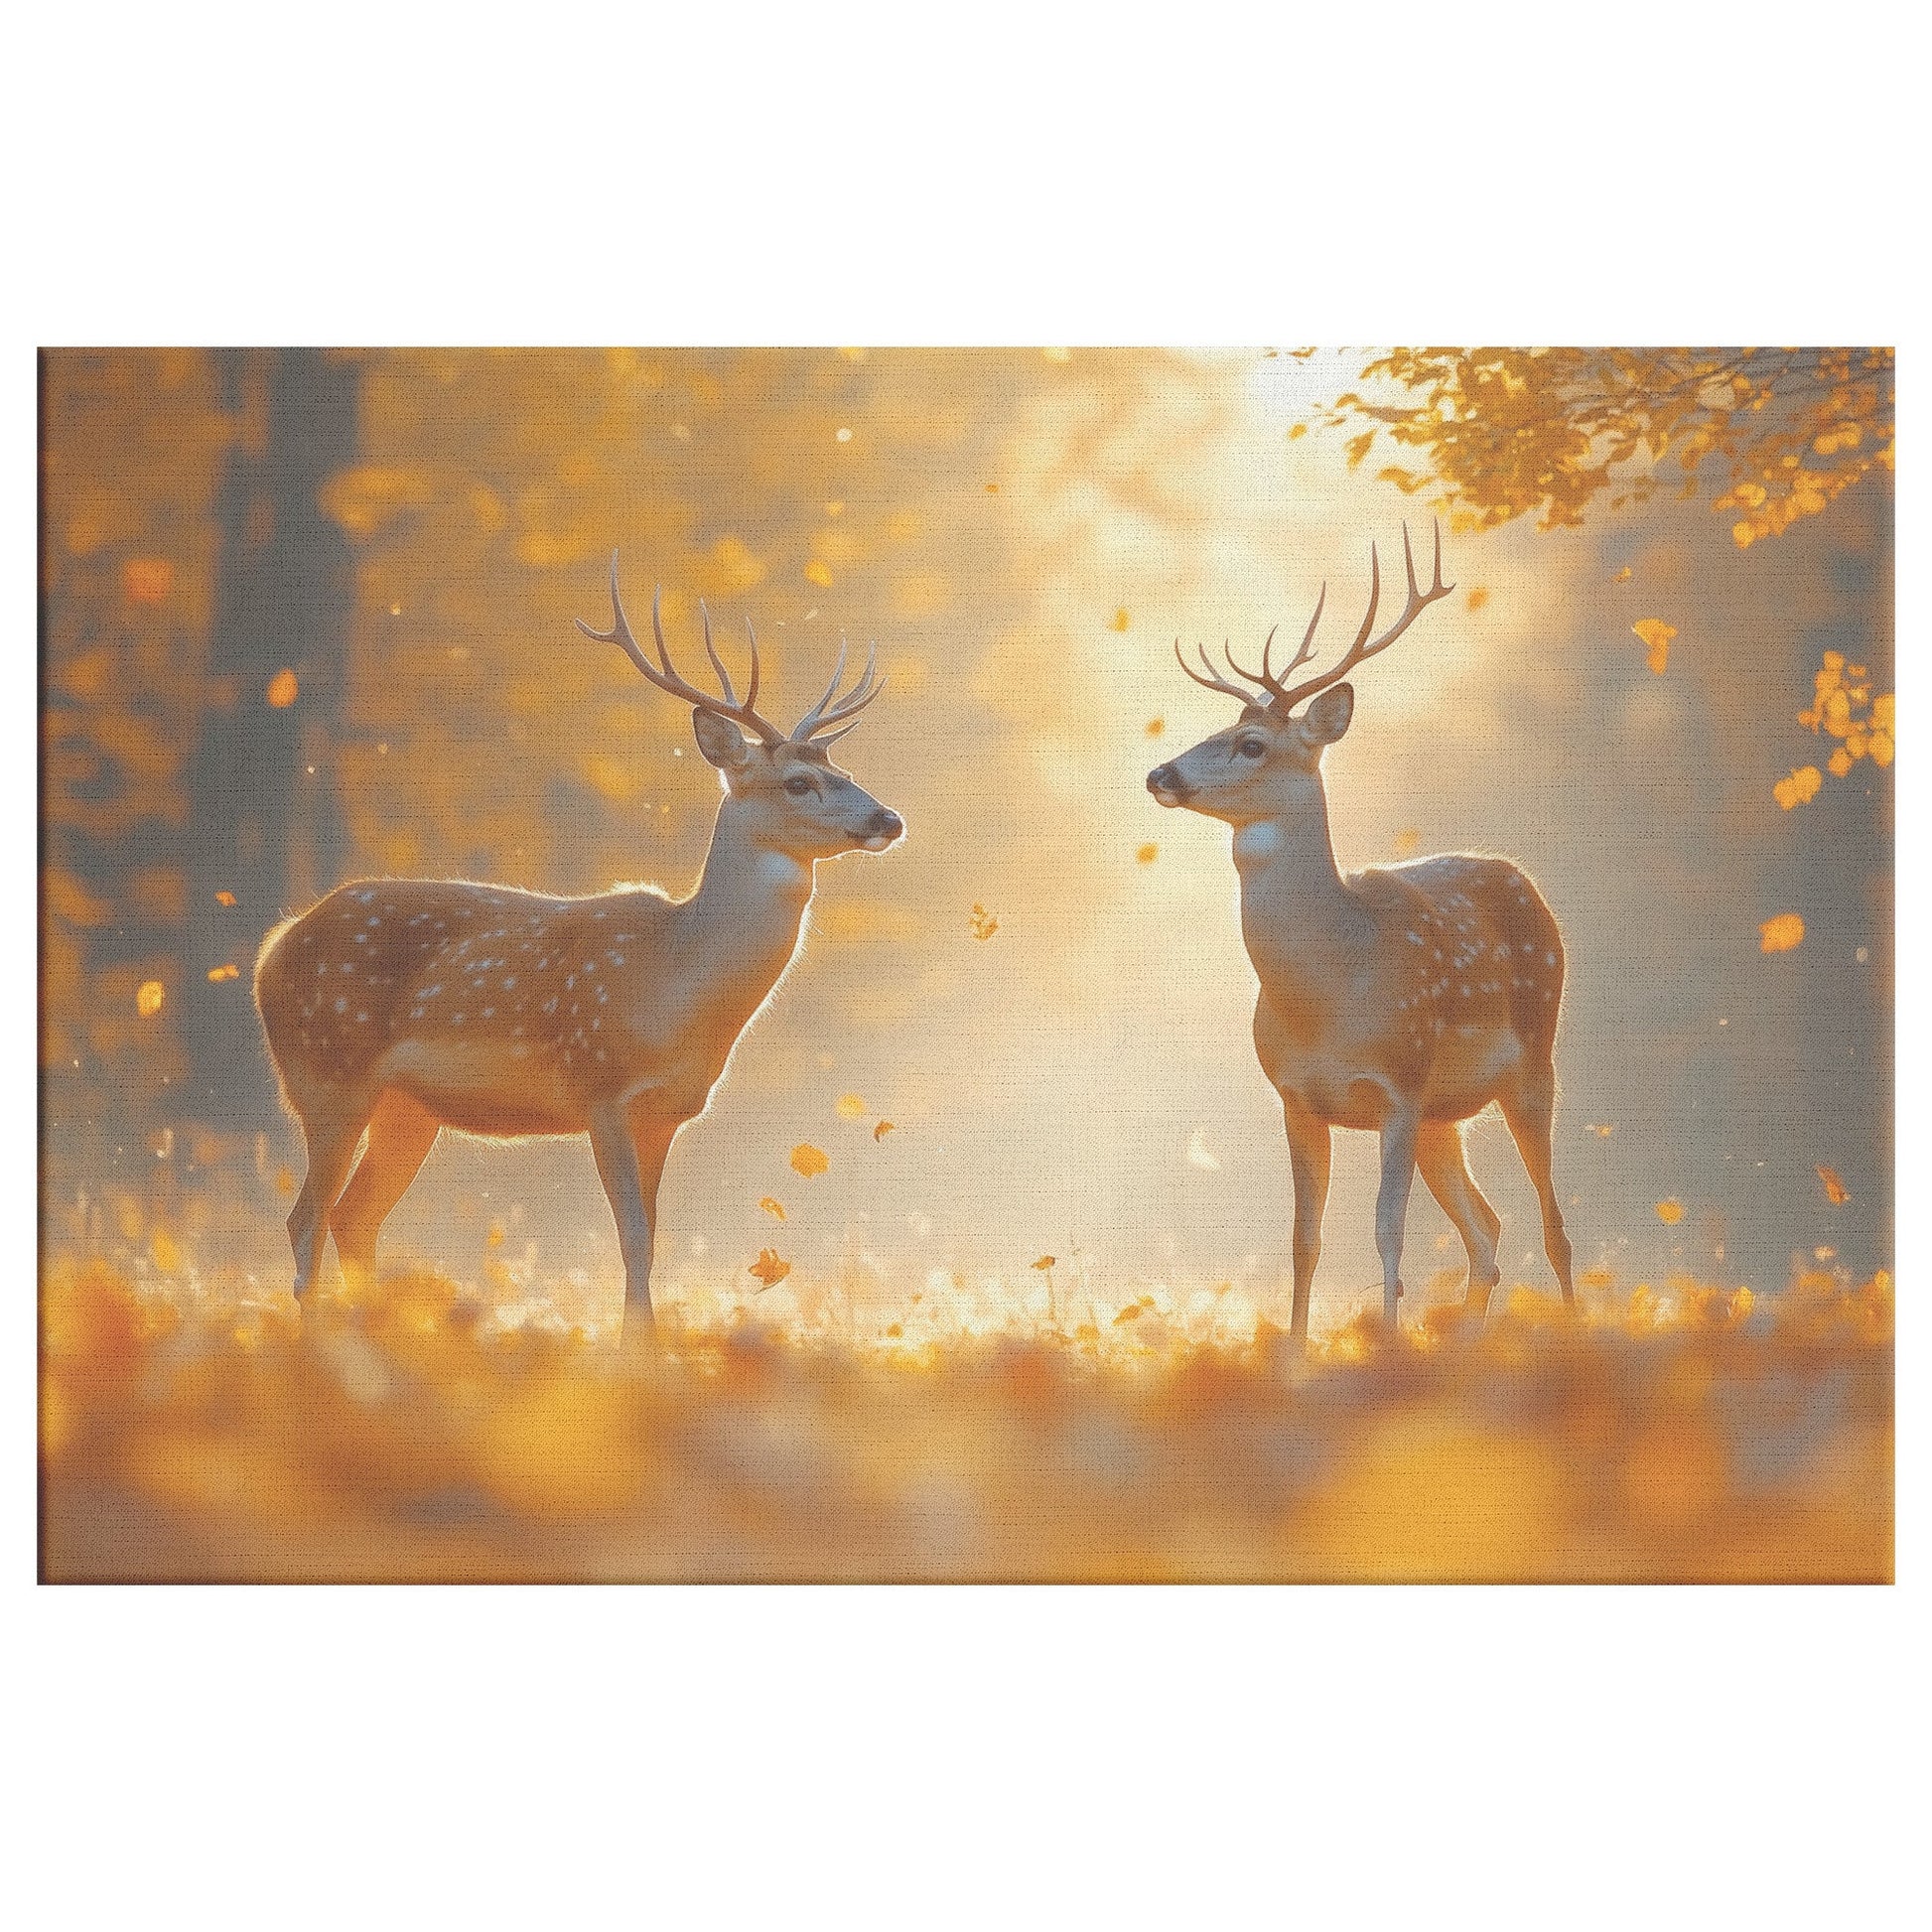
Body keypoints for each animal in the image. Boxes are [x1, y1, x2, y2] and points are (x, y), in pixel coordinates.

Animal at [255, 556, 903, 1340]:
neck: (676, 986)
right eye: (799, 781)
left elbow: (650, 1239)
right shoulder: (601, 1086)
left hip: (408, 1106)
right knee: (304, 1218)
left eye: (846, 772)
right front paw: (636, 1349)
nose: (888, 818)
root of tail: (271, 950)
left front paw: (642, 1345)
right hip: (326, 1073)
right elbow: (631, 1238)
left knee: (353, 1216)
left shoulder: (665, 1113)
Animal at [1146, 521, 1573, 1343]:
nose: (1161, 775)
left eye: (1252, 743)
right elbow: (1304, 1238)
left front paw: (1388, 1343)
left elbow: (1386, 1230)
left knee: (1552, 1224)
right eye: (1214, 729)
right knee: (1488, 1230)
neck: (1329, 994)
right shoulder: (1294, 1096)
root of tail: (1524, 879)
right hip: (1447, 1116)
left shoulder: (1399, 1085)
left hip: (1533, 1060)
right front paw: (1297, 1353)